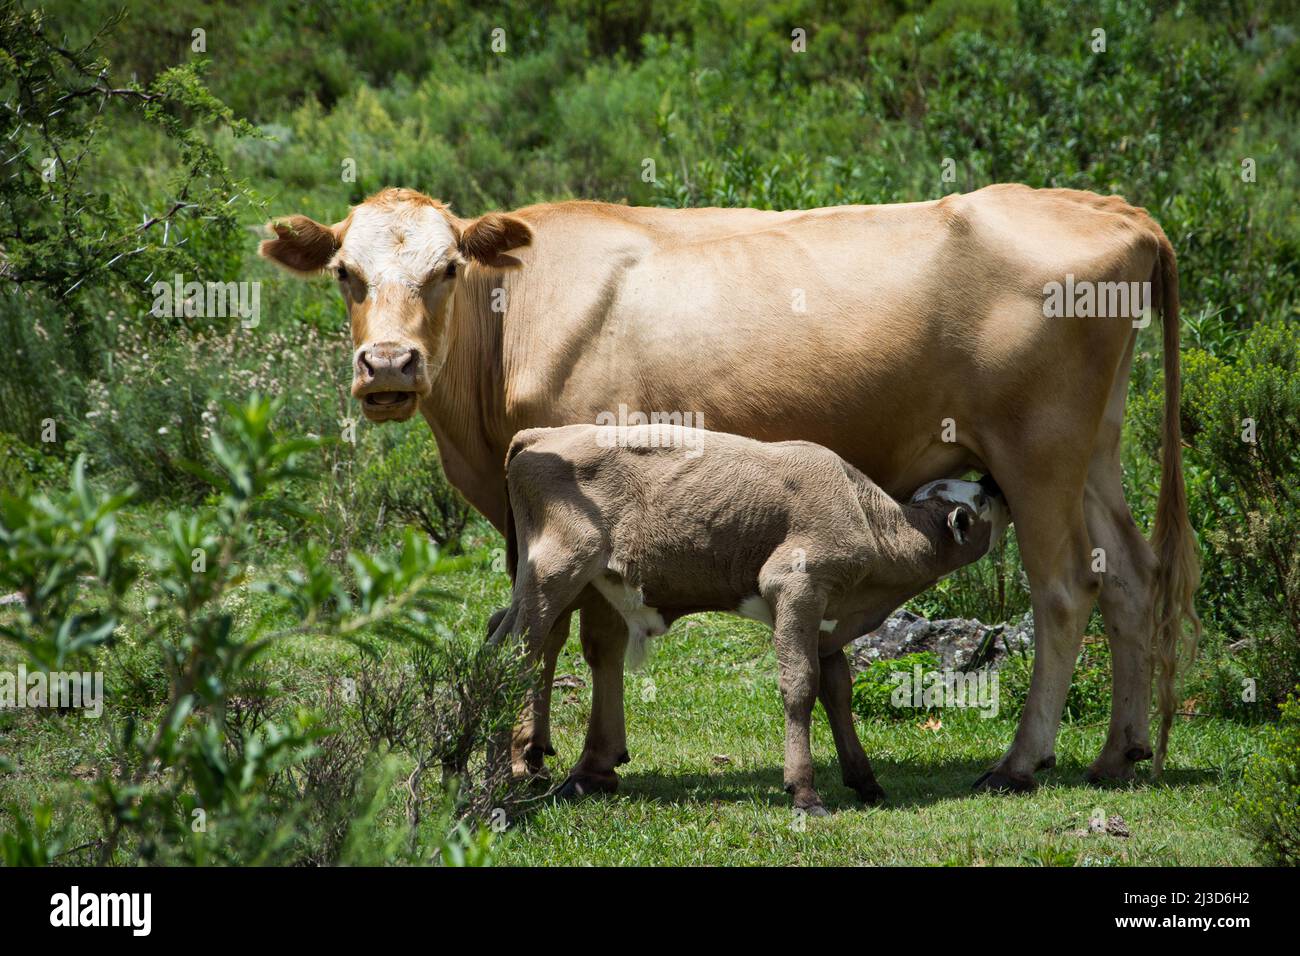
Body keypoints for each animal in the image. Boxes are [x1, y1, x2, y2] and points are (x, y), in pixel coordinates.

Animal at [492, 422, 1011, 810]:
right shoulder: (796, 586)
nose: (992, 482)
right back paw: (502, 772)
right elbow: (800, 685)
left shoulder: (828, 617)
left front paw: (865, 781)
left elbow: (837, 690)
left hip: (567, 581)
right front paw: (804, 792)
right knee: (513, 655)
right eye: (981, 500)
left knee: (501, 633)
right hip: (557, 571)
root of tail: (545, 434)